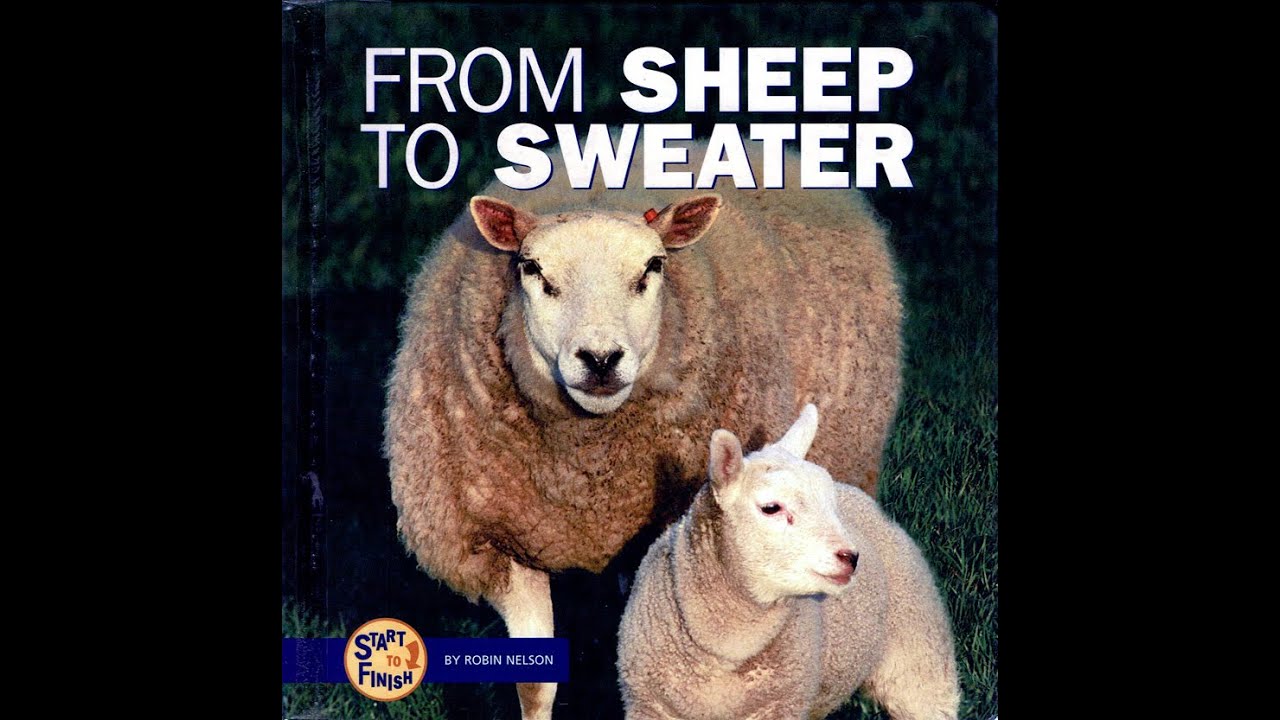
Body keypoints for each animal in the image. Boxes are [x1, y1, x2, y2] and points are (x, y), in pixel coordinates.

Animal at [384, 139, 903, 719]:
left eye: (653, 266)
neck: (583, 476)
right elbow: (534, 682)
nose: (600, 359)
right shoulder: (500, 546)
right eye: (532, 268)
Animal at [616, 404, 959, 720]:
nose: (850, 557)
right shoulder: (651, 707)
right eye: (771, 508)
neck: (728, 648)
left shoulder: (781, 706)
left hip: (919, 652)